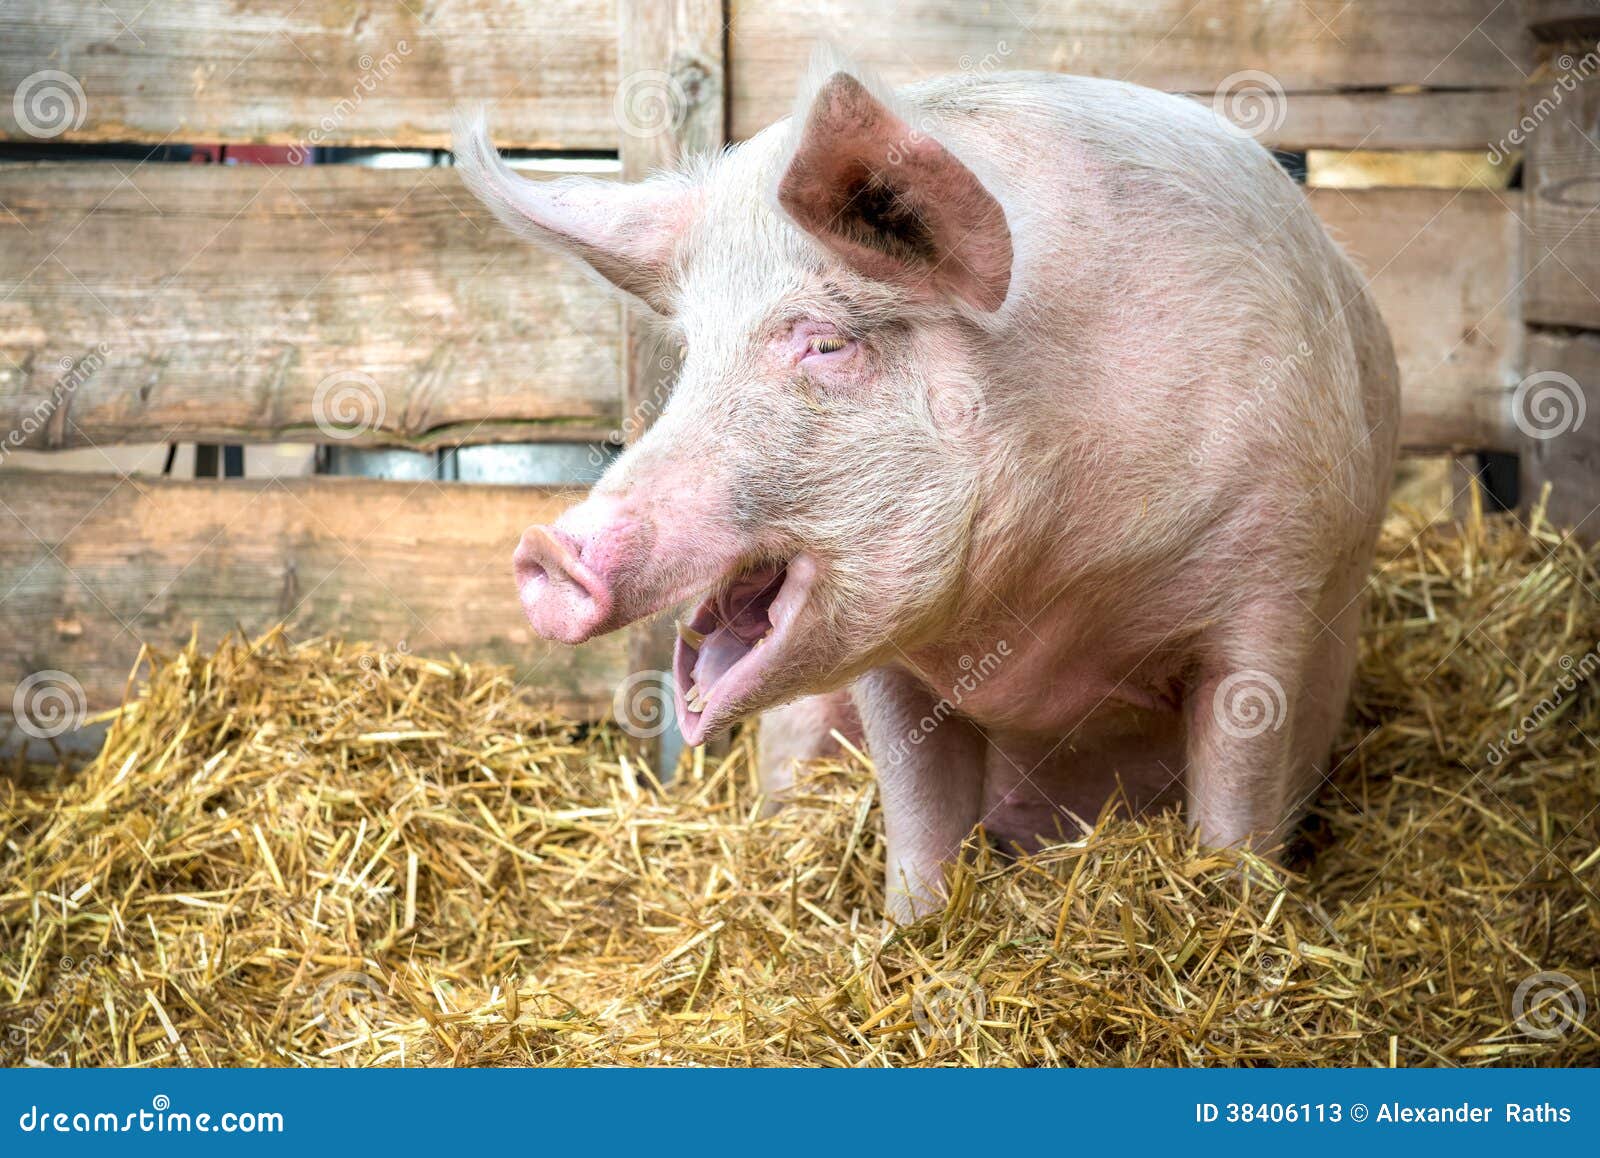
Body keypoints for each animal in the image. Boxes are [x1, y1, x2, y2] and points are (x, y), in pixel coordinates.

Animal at [455, 54, 1399, 921]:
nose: (547, 550)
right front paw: (912, 929)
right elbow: (916, 810)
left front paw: (1233, 914)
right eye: (693, 354)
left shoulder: (1275, 576)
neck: (1044, 618)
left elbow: (1236, 797)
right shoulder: (886, 660)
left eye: (826, 343)